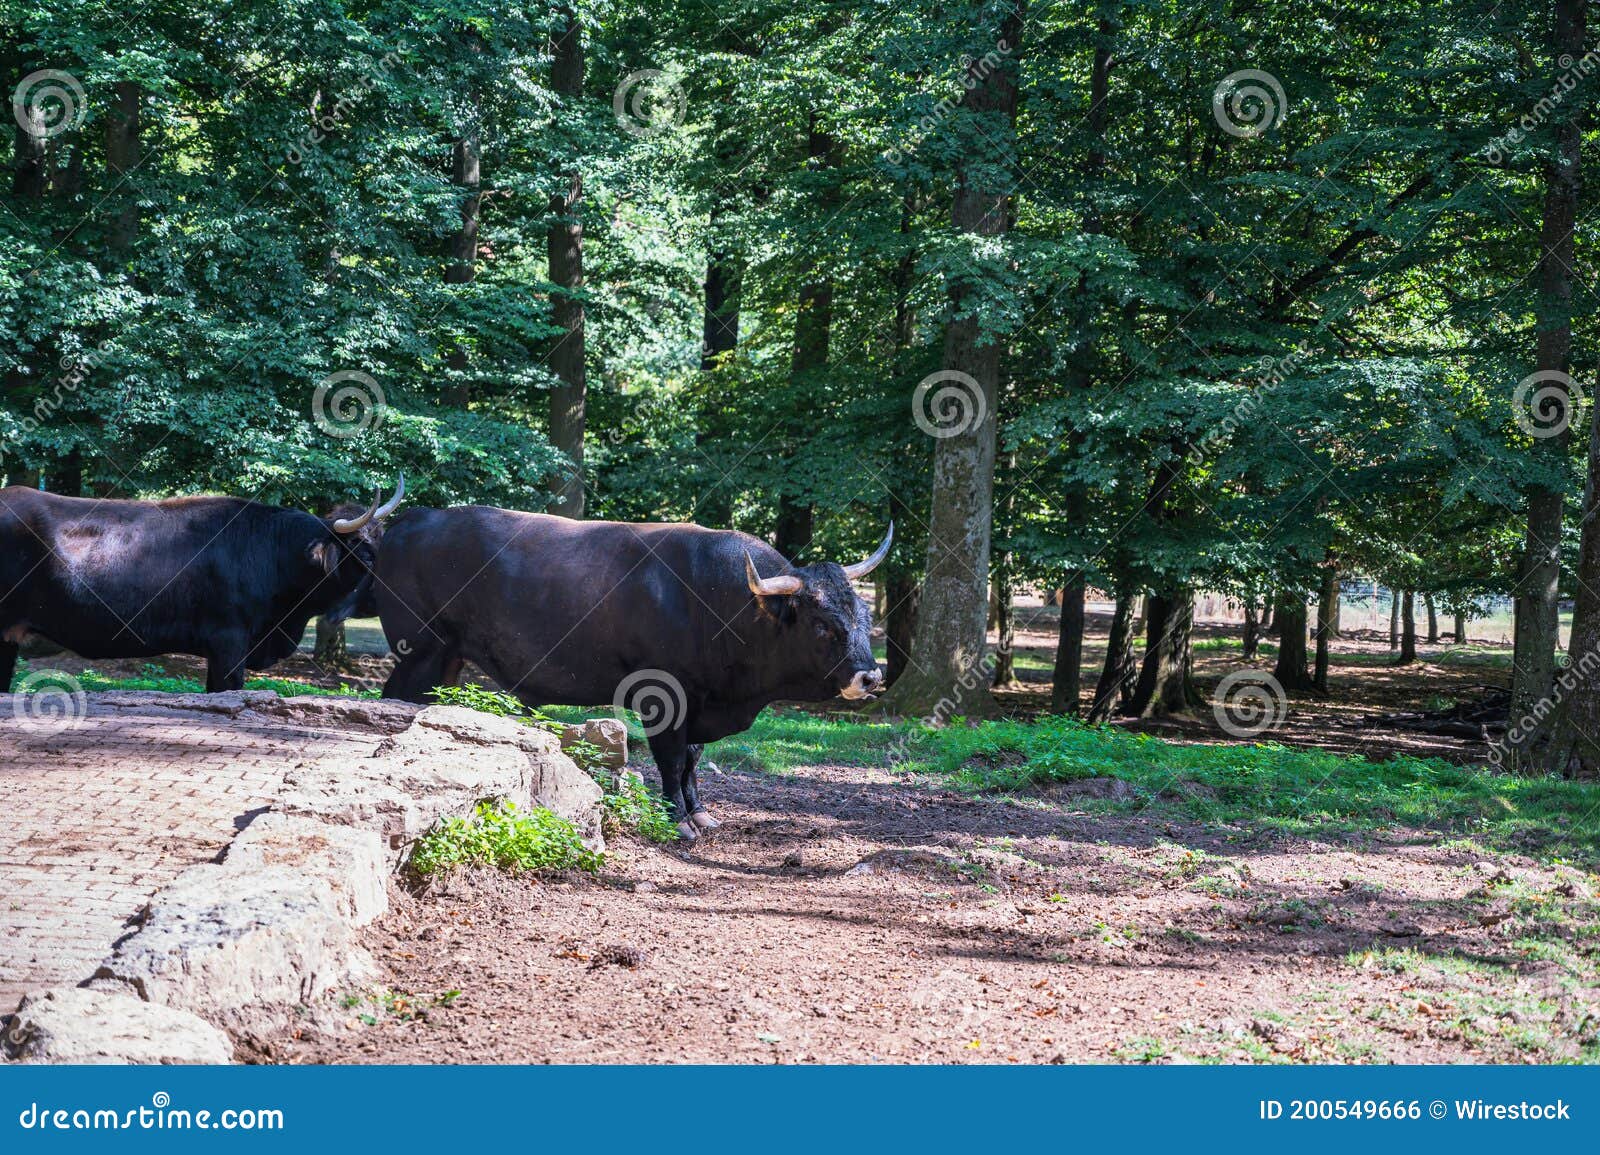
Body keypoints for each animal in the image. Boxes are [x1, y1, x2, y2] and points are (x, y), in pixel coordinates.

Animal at [373, 508, 892, 840]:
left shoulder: (701, 701)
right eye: (822, 625)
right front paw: (677, 819)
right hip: (420, 650)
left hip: (445, 659)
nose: (870, 677)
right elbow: (671, 757)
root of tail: (410, 520)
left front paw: (700, 813)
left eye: (864, 616)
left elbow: (693, 758)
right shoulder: (663, 694)